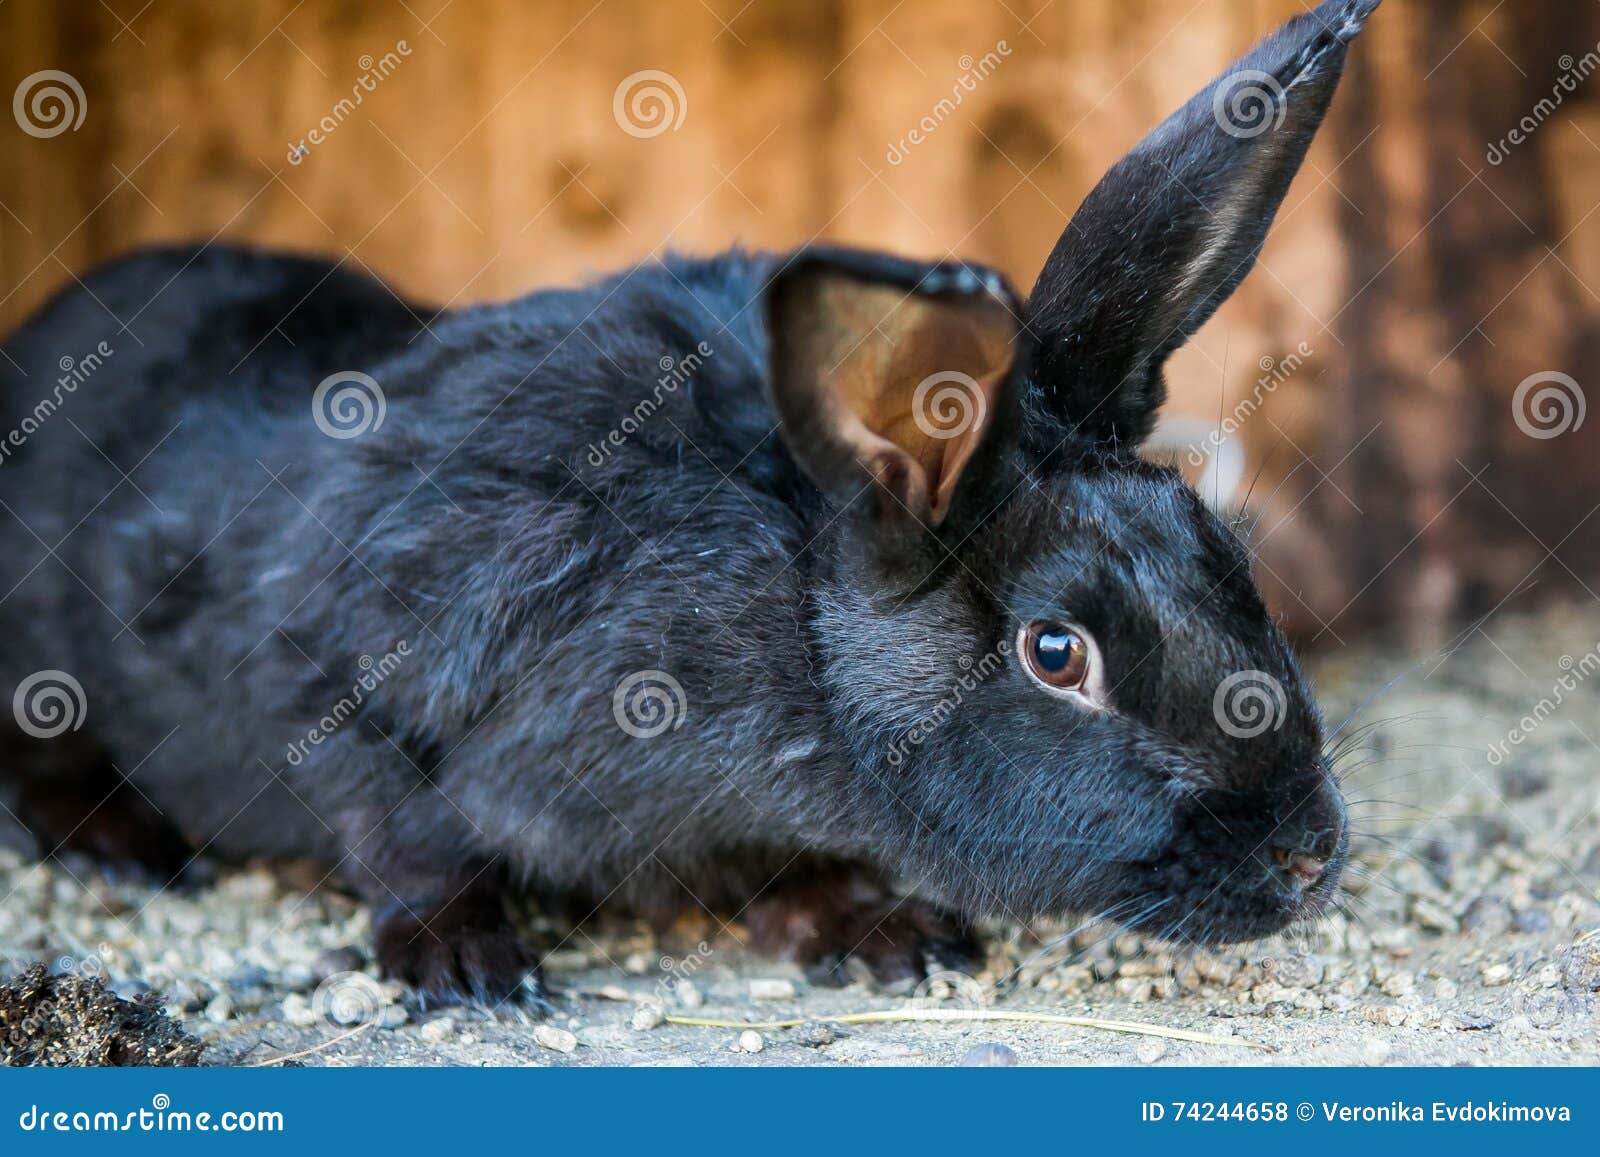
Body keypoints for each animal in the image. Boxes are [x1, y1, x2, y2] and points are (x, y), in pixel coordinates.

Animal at [0, 0, 1379, 1005]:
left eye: (1223, 552)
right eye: (1055, 652)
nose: (1309, 854)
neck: (801, 633)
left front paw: (879, 928)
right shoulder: (353, 673)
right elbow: (399, 830)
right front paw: (468, 965)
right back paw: (117, 841)